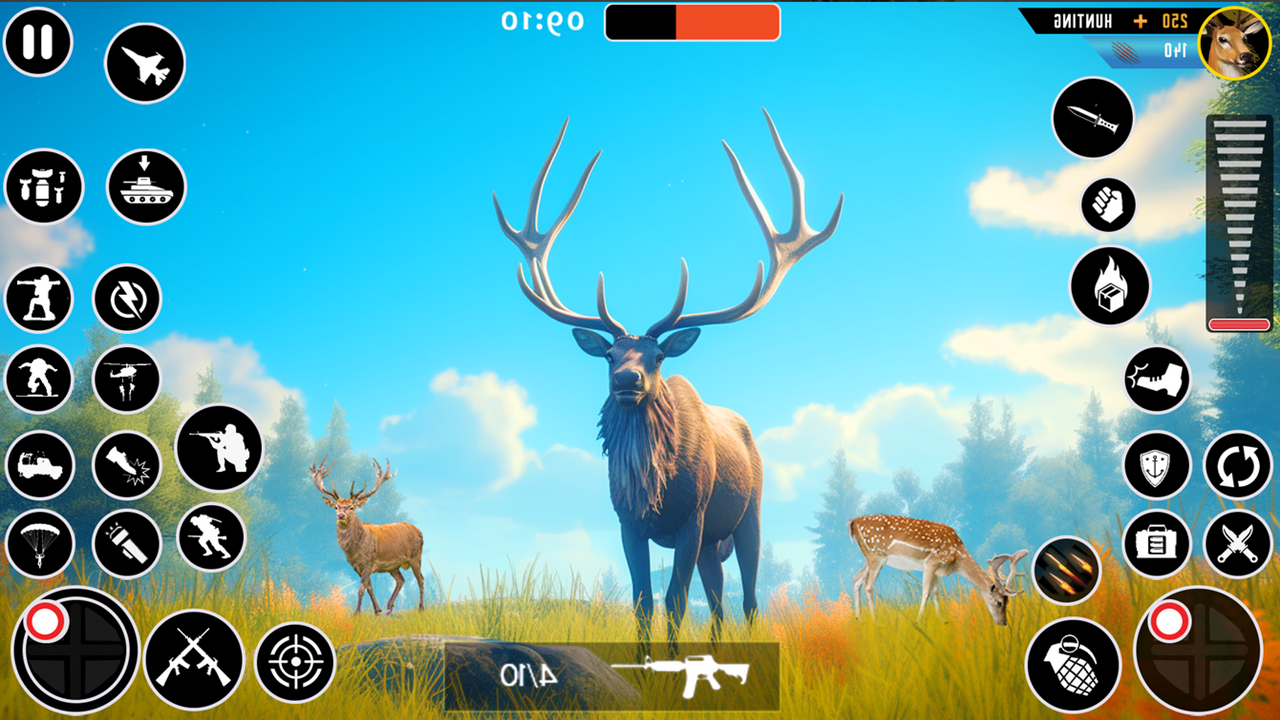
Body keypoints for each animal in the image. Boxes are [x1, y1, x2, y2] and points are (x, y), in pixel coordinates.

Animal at [310, 456, 426, 614]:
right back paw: (389, 606)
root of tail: (419, 531)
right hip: (394, 566)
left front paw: (357, 613)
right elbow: (369, 588)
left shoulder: (369, 562)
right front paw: (377, 610)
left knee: (421, 579)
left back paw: (421, 607)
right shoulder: (356, 566)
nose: (341, 515)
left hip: (416, 556)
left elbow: (361, 589)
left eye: (352, 507)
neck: (354, 549)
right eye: (336, 507)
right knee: (401, 580)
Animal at [494, 110, 843, 649]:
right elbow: (642, 602)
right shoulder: (627, 523)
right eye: (609, 354)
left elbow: (676, 602)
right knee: (718, 602)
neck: (655, 484)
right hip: (713, 542)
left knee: (747, 599)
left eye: (658, 355)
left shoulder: (692, 519)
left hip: (748, 516)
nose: (628, 379)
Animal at [848, 515, 1028, 626]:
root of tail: (853, 522)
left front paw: (942, 620)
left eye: (1008, 602)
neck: (956, 558)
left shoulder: (936, 569)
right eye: (999, 602)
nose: (1003, 622)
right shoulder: (931, 563)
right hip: (875, 555)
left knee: (856, 578)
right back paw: (875, 621)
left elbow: (936, 592)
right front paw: (918, 622)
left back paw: (859, 620)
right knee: (868, 585)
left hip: (869, 557)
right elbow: (926, 592)